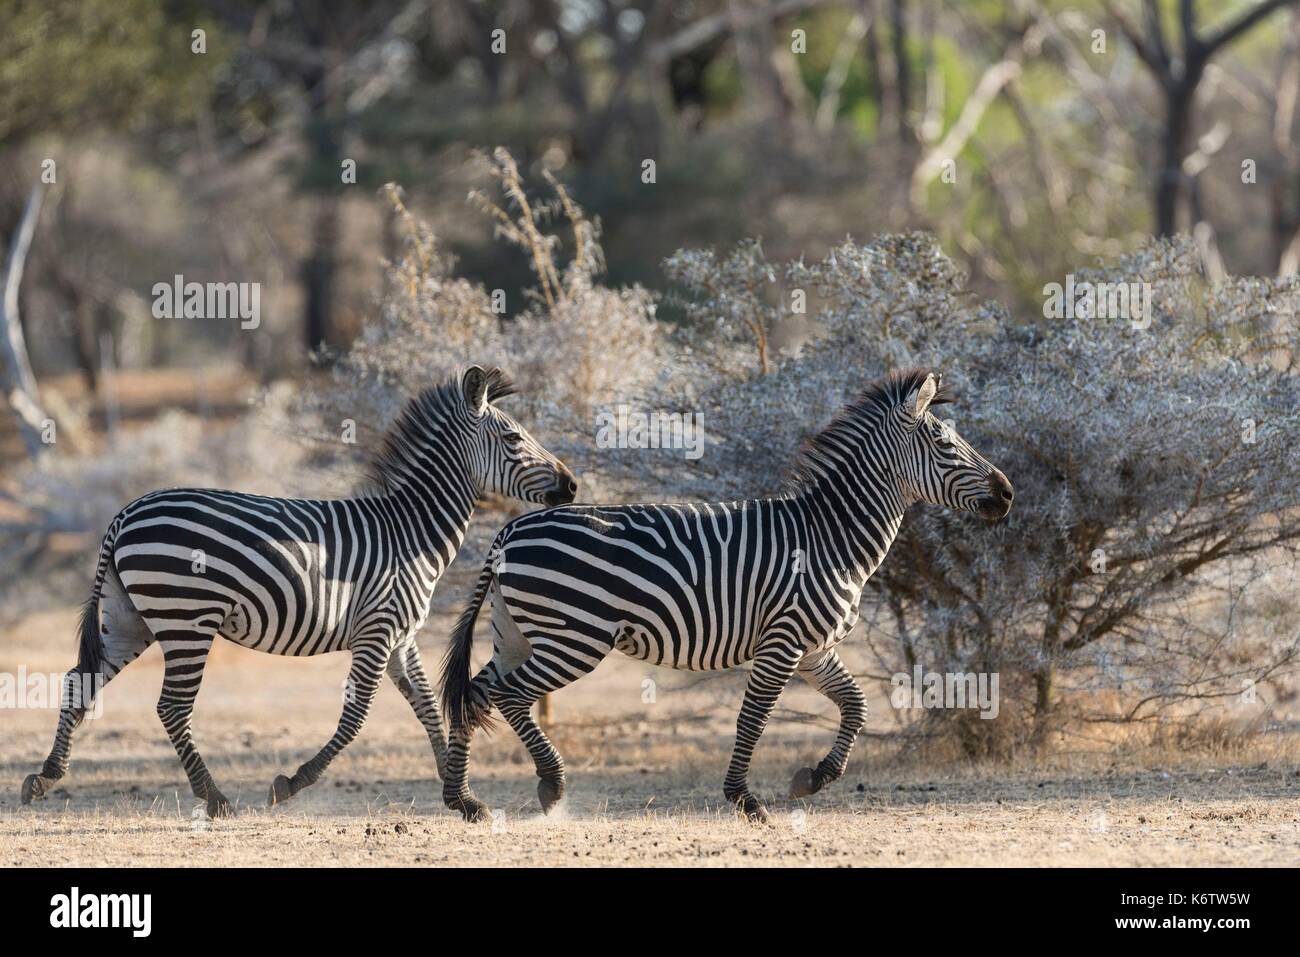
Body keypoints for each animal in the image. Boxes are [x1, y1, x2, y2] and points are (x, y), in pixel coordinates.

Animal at [21, 366, 577, 818]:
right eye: (512, 437)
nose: (572, 486)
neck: (411, 530)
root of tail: (125, 513)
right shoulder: (377, 630)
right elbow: (356, 716)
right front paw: (292, 782)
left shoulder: (401, 634)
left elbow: (426, 705)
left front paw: (460, 797)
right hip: (186, 620)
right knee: (172, 707)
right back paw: (215, 799)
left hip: (129, 617)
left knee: (79, 681)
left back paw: (44, 778)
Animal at [440, 369, 1012, 823]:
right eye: (945, 444)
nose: (1007, 494)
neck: (830, 535)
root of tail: (510, 529)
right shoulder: (783, 641)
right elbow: (753, 718)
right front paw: (745, 799)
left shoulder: (815, 649)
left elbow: (857, 705)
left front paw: (815, 777)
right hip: (574, 638)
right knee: (507, 694)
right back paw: (551, 785)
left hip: (517, 634)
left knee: (475, 693)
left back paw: (464, 800)